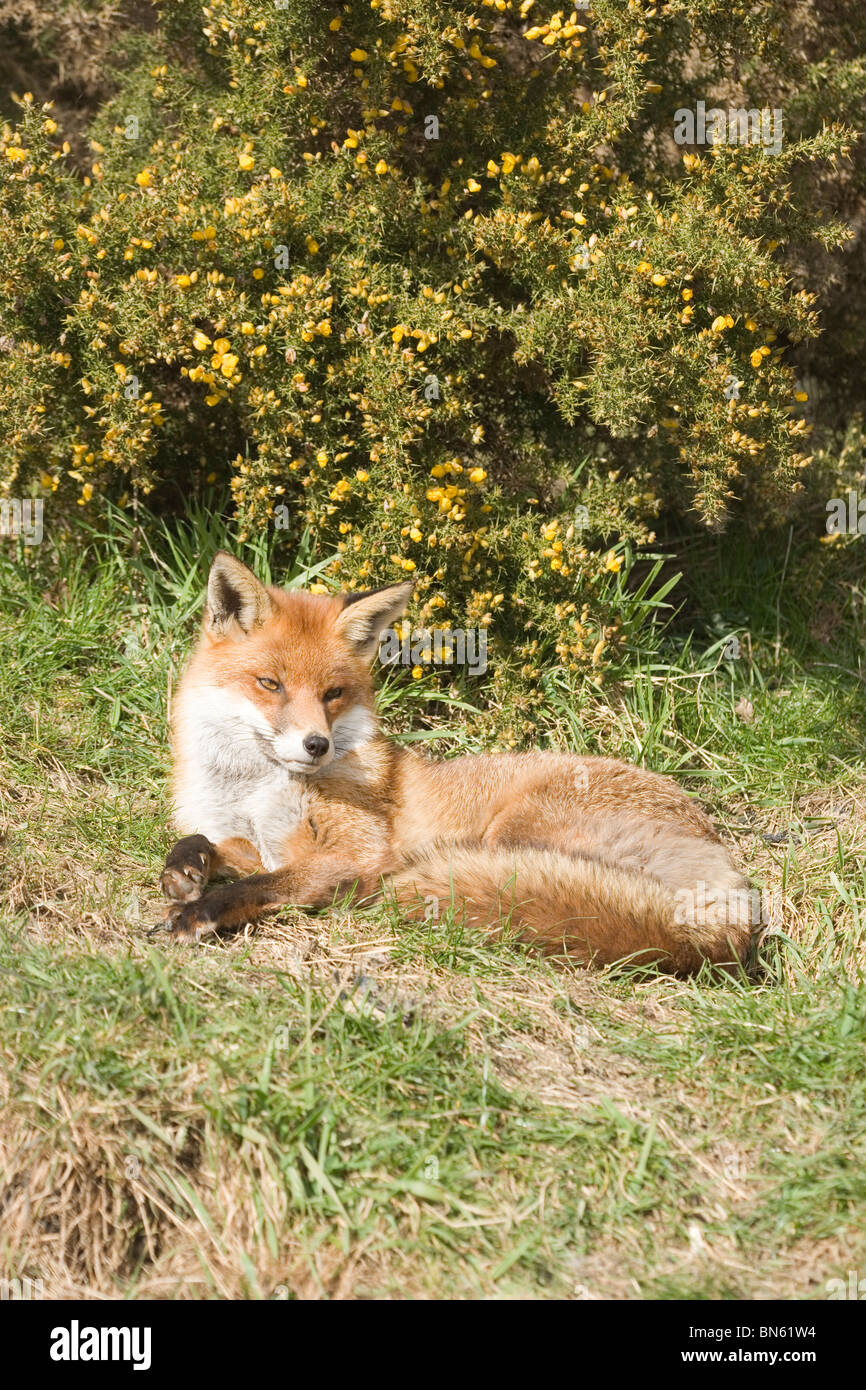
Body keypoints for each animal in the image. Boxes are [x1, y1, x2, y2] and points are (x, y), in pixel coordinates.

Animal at [156, 551, 753, 972]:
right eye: (270, 684)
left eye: (333, 694)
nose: (316, 745)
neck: (252, 789)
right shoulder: (261, 844)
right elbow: (205, 843)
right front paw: (185, 868)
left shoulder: (353, 856)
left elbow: (259, 887)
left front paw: (201, 911)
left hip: (512, 828)